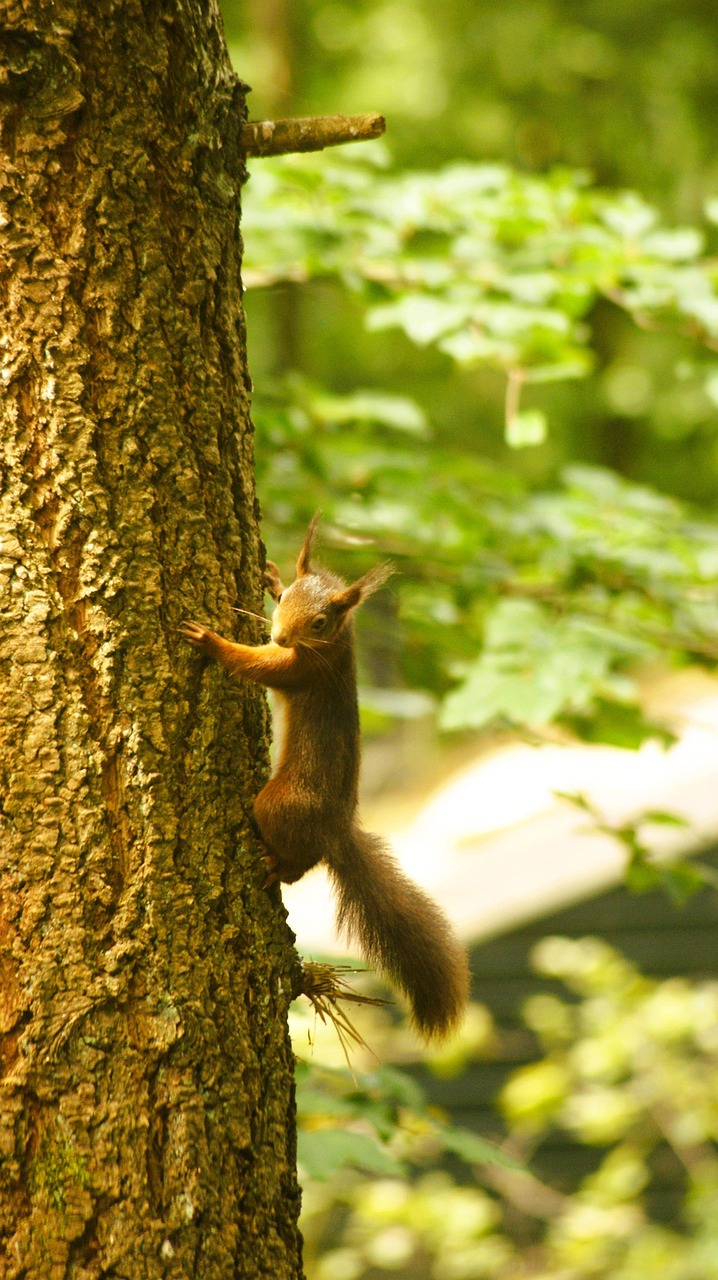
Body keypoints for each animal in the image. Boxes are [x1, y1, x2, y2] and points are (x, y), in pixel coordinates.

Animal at [180, 515, 469, 1040]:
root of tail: (335, 831)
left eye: (319, 622)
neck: (340, 643)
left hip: (277, 804)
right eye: (288, 599)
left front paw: (211, 640)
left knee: (301, 864)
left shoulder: (301, 669)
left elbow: (256, 665)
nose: (279, 636)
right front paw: (270, 576)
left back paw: (276, 866)